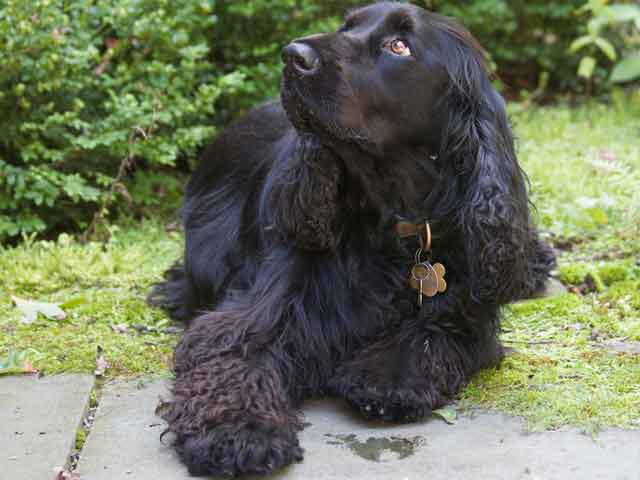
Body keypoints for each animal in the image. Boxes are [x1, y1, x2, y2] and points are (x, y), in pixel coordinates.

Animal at [150, 2, 556, 476]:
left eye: (399, 45)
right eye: (347, 25)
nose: (293, 55)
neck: (392, 223)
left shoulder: (465, 310)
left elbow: (430, 333)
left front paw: (386, 378)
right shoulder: (257, 311)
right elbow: (235, 357)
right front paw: (237, 430)